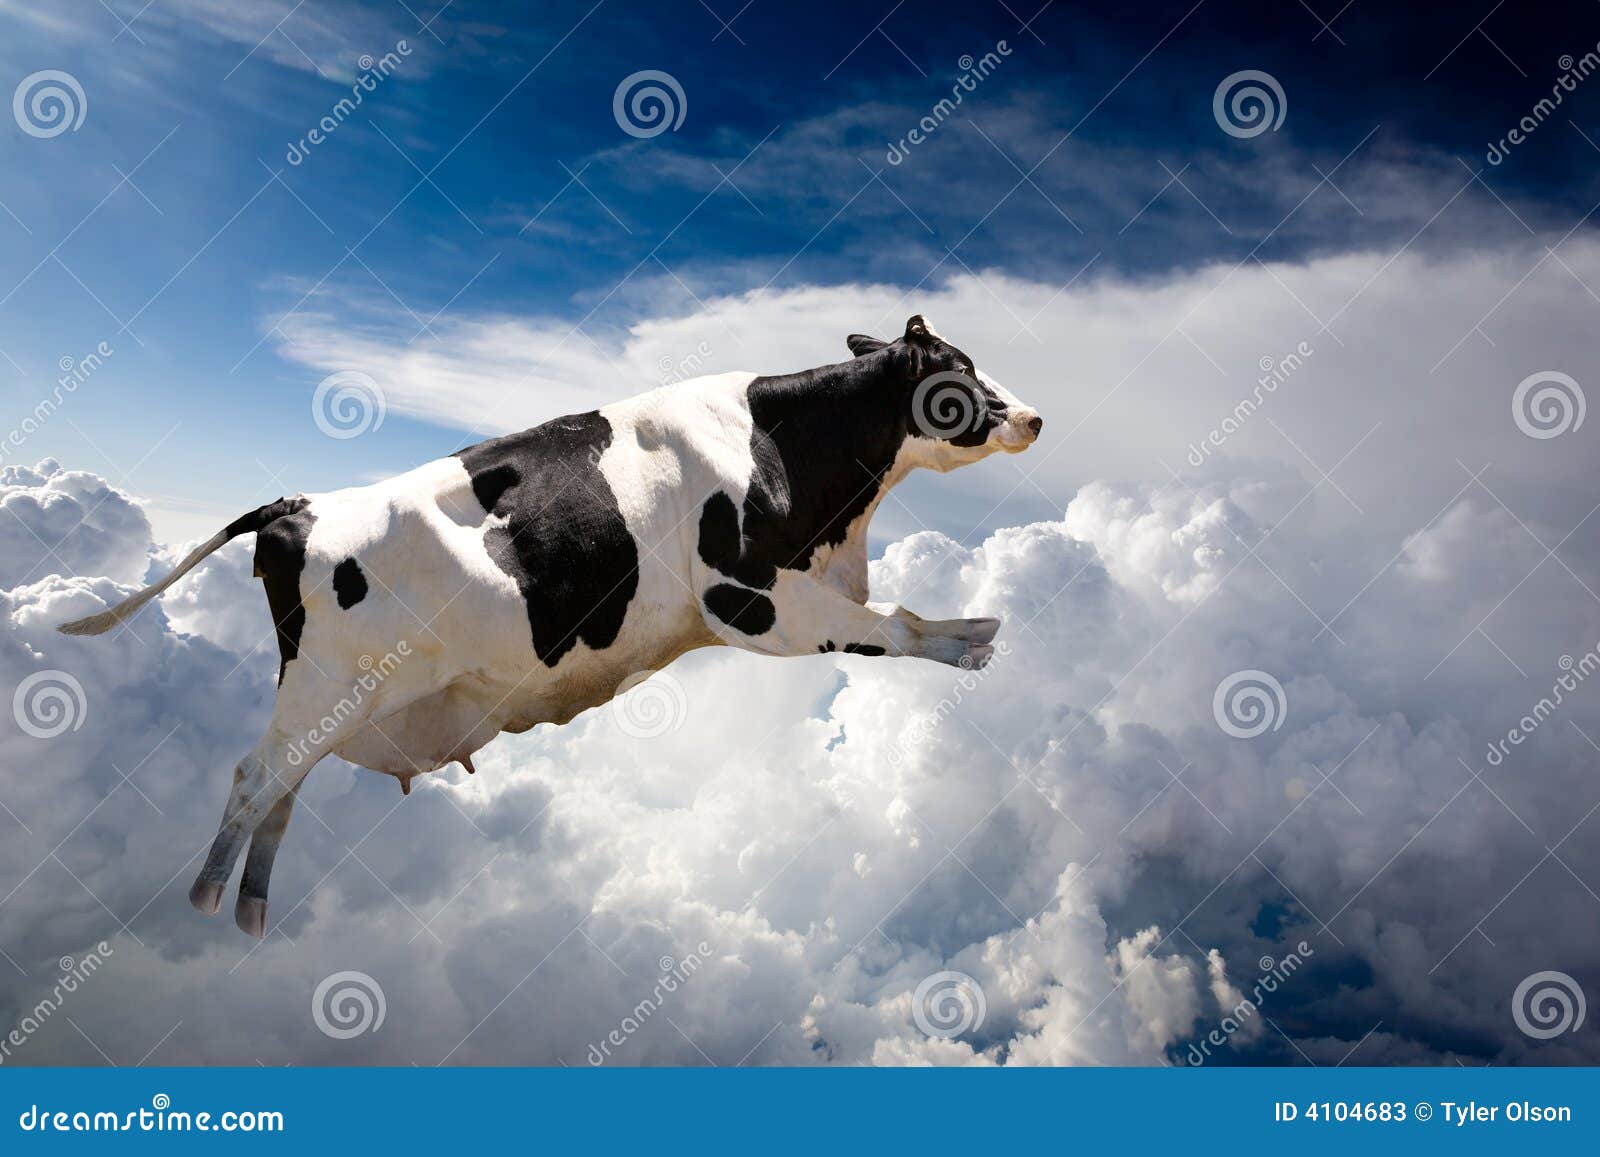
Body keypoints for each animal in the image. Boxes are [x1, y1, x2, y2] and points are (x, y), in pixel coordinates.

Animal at [57, 315, 1042, 937]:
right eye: (958, 373)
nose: (1034, 415)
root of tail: (297, 503)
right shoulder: (751, 599)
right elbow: (894, 628)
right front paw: (977, 639)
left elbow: (894, 615)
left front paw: (979, 626)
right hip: (323, 684)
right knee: (255, 778)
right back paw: (204, 900)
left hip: (328, 701)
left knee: (283, 789)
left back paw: (254, 913)